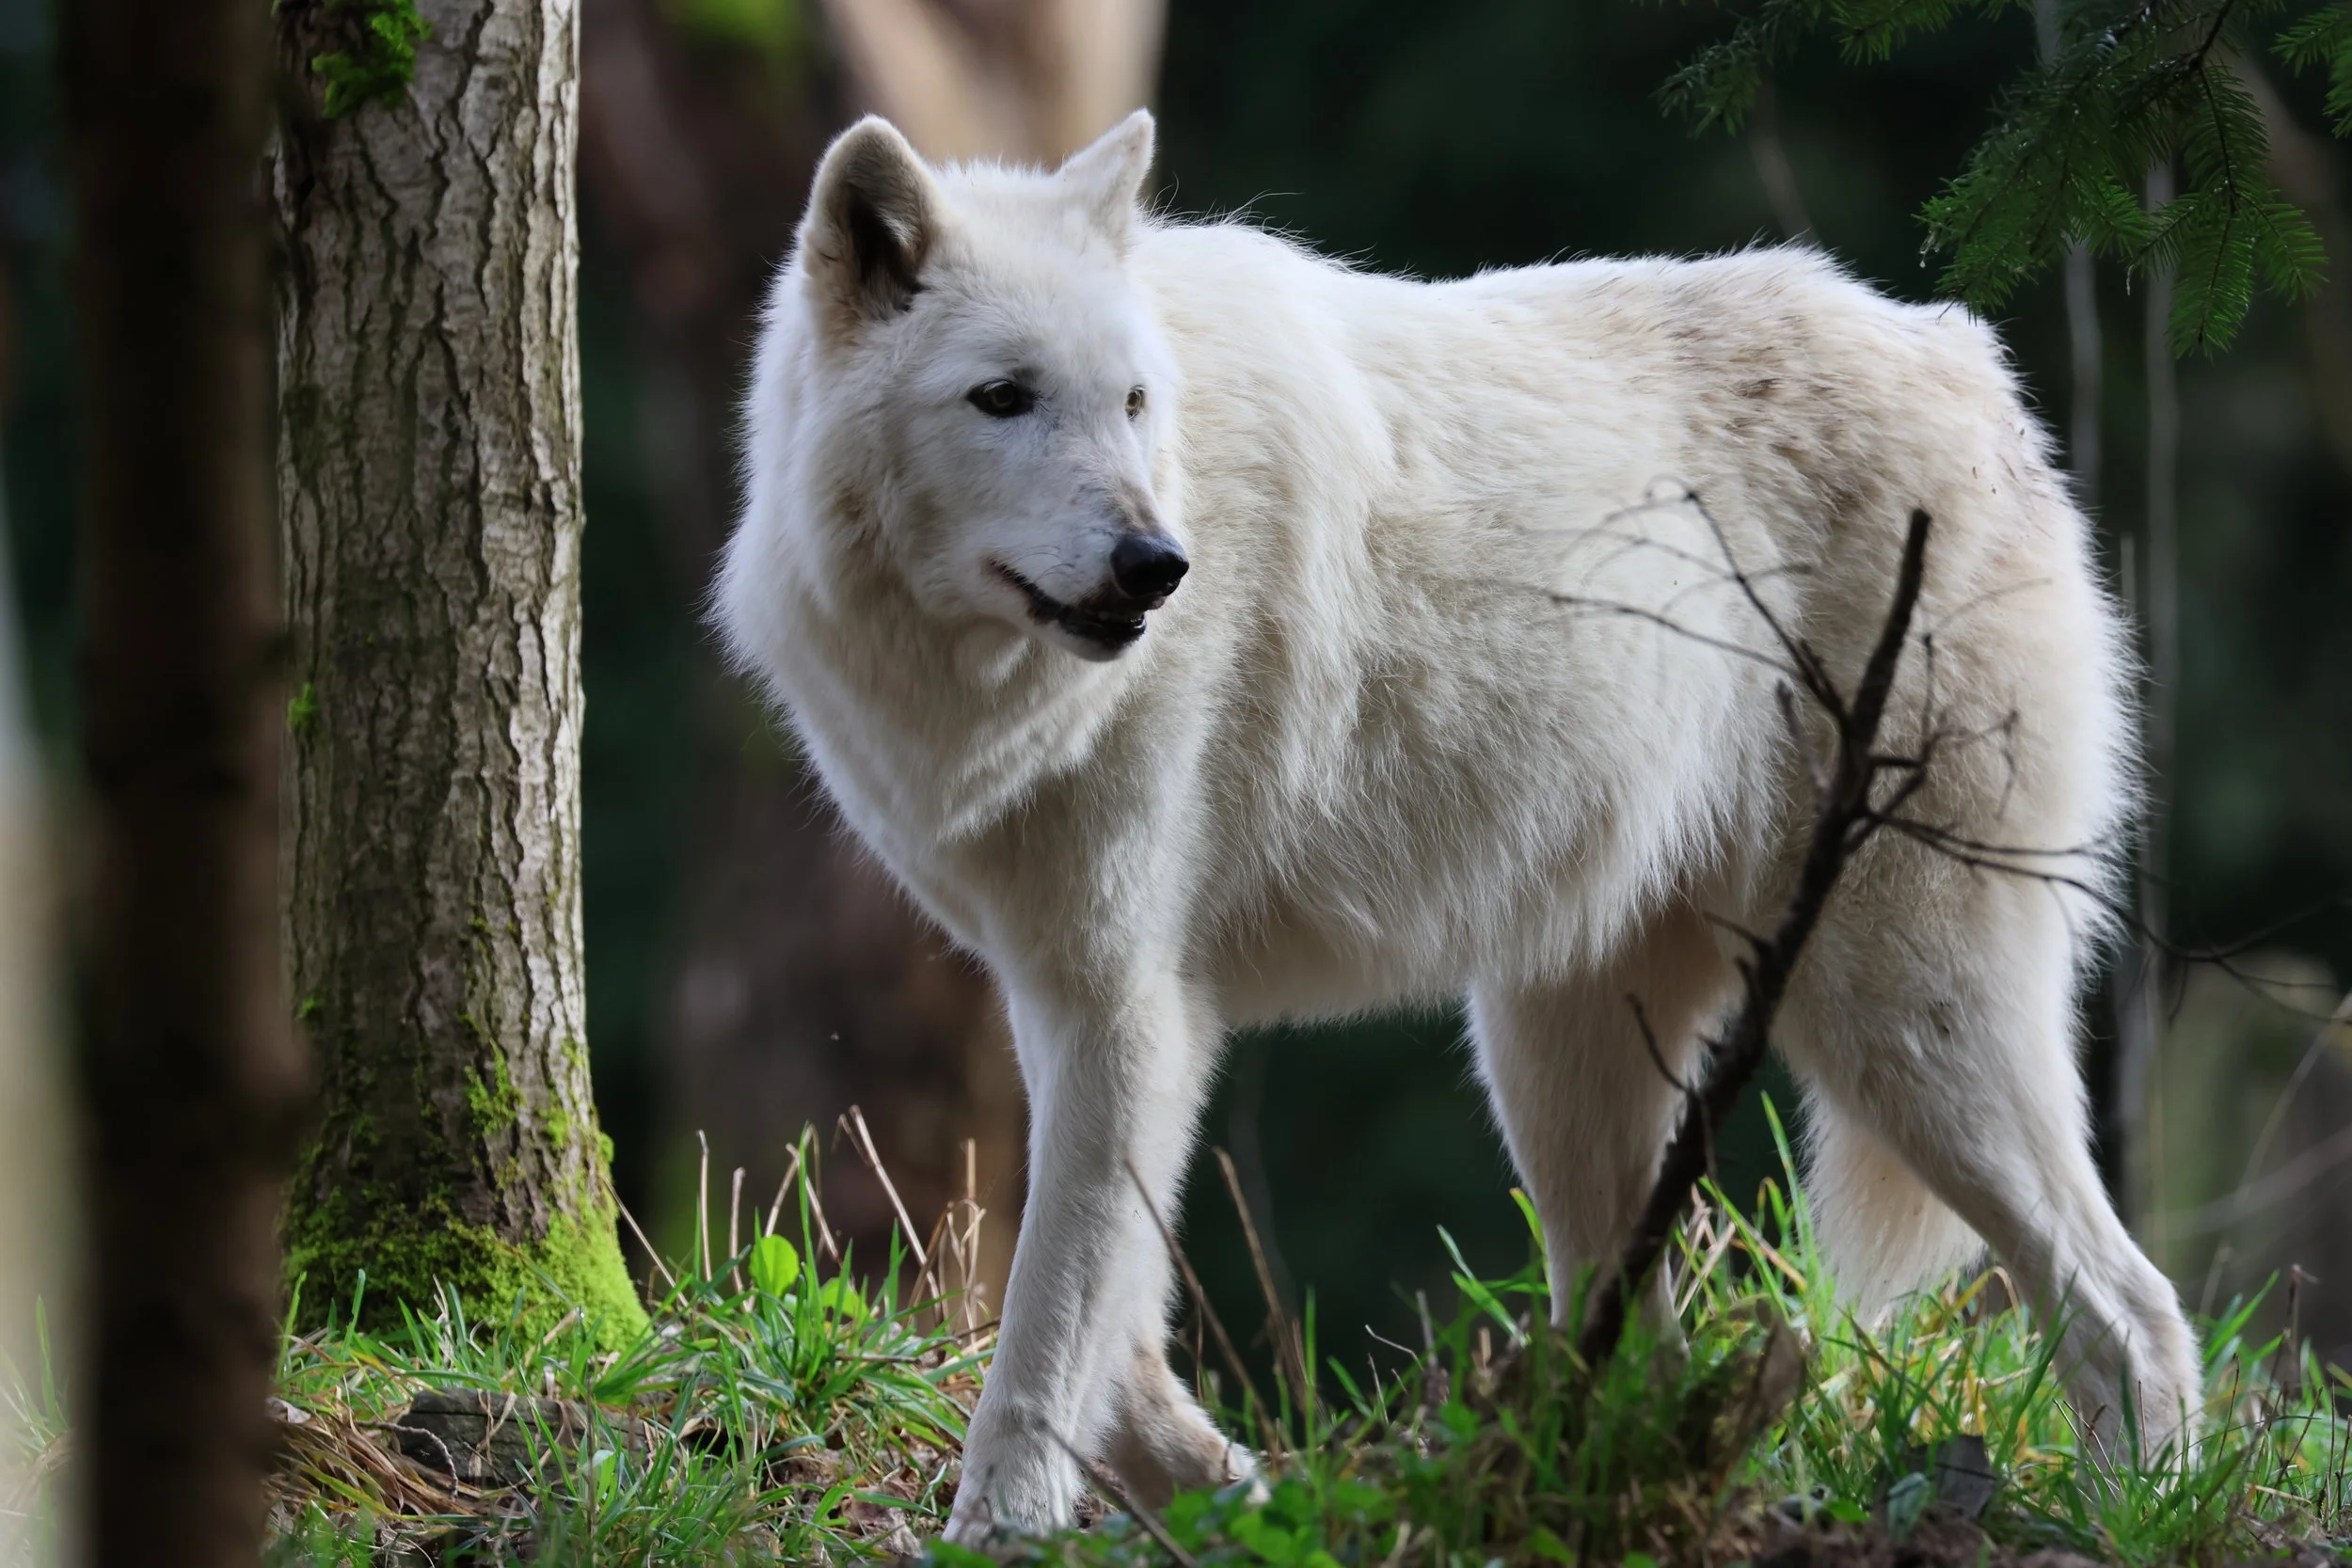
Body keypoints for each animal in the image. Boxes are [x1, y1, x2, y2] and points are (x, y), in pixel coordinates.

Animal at [715, 110, 2202, 1540]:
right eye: (1004, 398)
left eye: (1132, 403)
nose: (1158, 566)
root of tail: (1967, 359)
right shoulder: (1080, 994)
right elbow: (1111, 1323)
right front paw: (1243, 1492)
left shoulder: (1126, 1001)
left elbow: (1046, 1323)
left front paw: (1003, 1523)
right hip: (1559, 1070)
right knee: (1651, 1351)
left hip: (1894, 1016)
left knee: (2134, 1305)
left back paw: (2138, 1509)